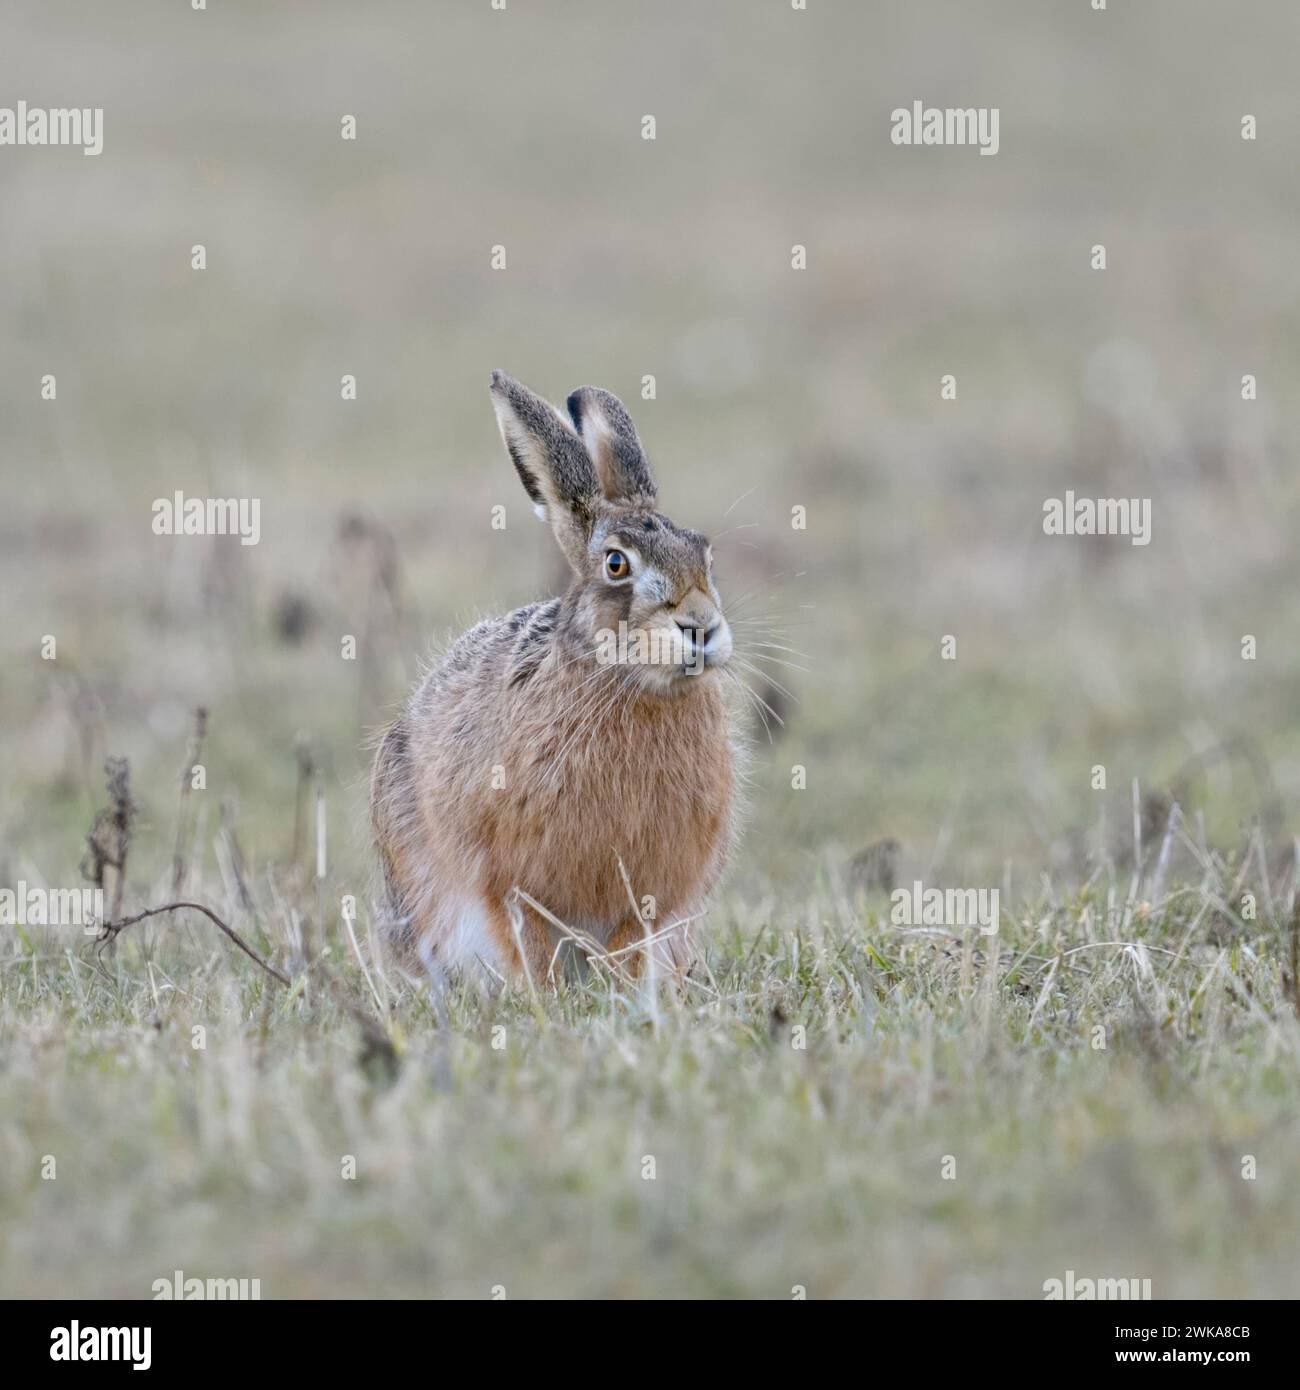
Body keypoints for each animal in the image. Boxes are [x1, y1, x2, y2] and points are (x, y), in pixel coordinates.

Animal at [371, 371, 739, 985]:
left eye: (705, 557)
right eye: (616, 564)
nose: (702, 627)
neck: (628, 683)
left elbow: (630, 944)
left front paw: (623, 992)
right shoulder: (504, 879)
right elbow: (524, 938)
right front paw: (544, 996)